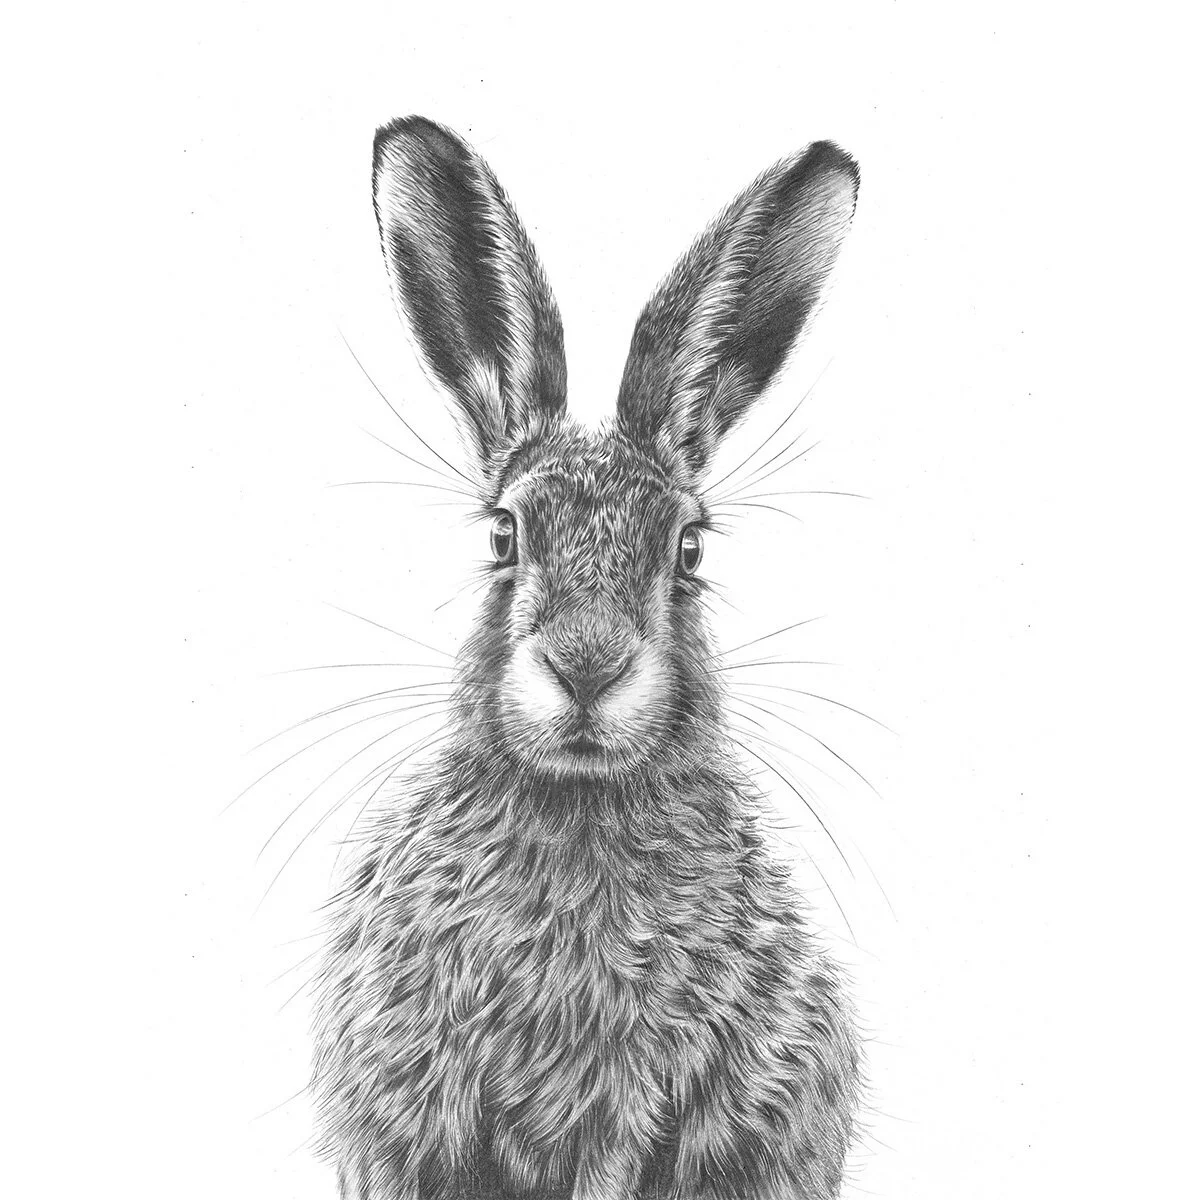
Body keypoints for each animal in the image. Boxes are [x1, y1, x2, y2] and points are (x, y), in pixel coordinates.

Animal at [311, 116, 862, 1200]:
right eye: (503, 536)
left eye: (689, 550)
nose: (587, 665)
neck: (574, 804)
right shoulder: (418, 1103)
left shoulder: (632, 1102)